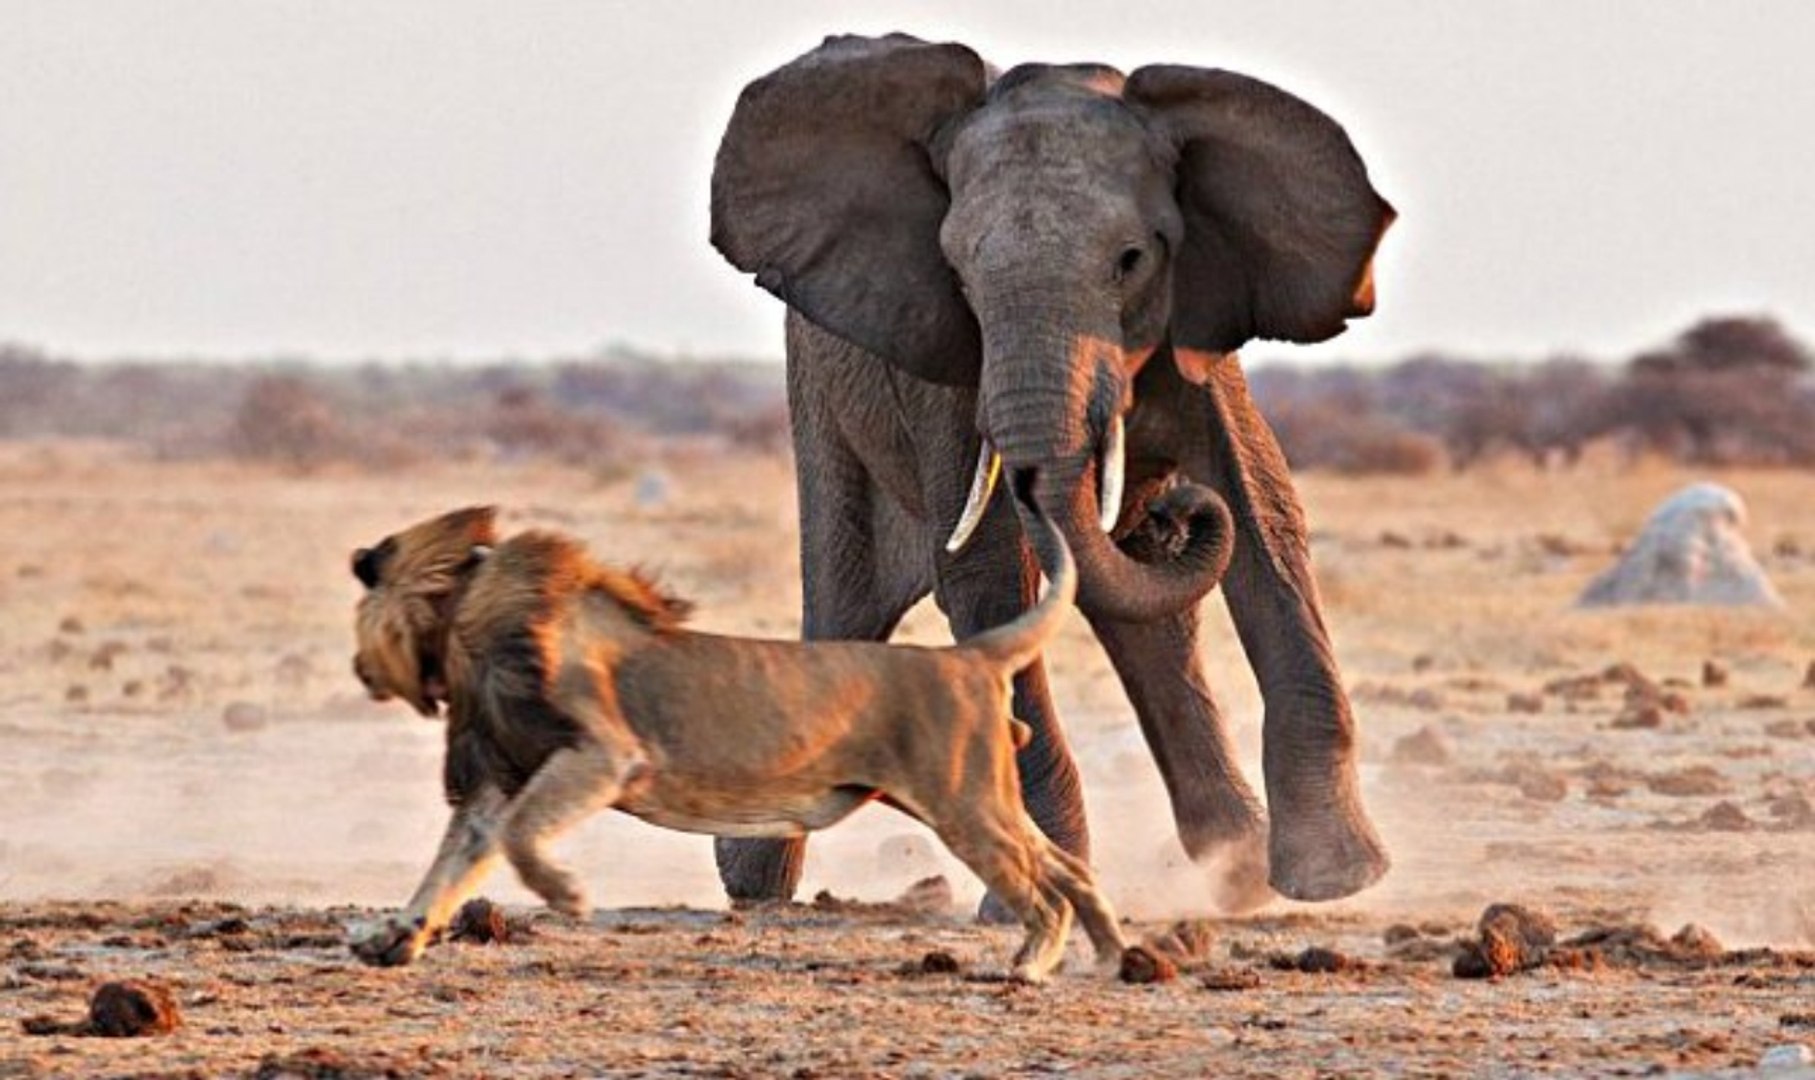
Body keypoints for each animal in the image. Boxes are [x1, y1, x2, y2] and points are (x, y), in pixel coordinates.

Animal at [346, 474, 1126, 982]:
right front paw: (396, 938)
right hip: (970, 797)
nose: (356, 668)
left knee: (1040, 885)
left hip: (963, 802)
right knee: (1068, 865)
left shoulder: (602, 753)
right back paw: (1119, 956)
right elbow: (457, 857)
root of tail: (967, 653)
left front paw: (567, 896)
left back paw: (1029, 965)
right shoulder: (496, 772)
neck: (463, 621)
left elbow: (515, 835)